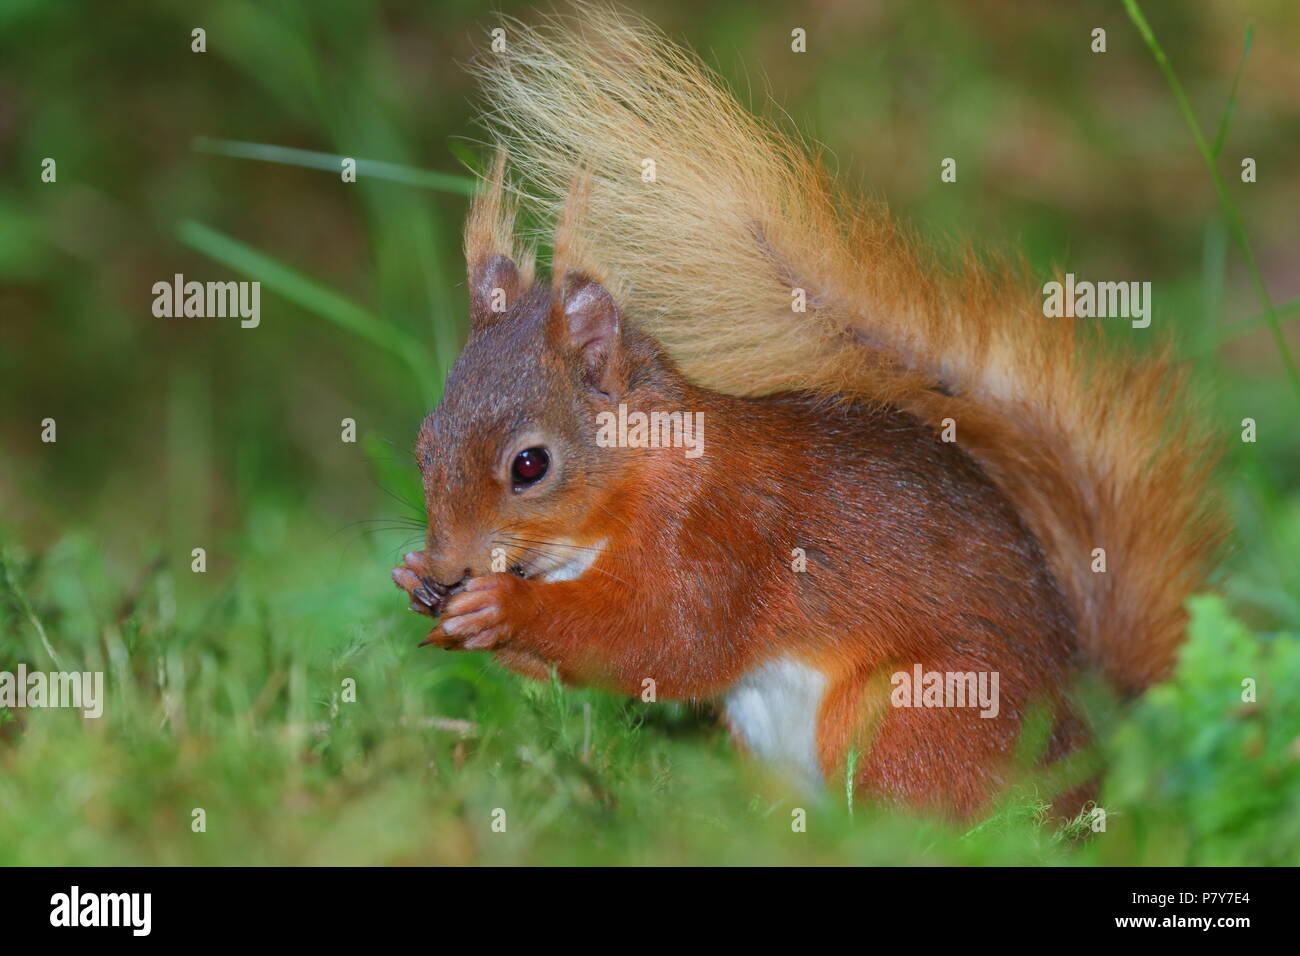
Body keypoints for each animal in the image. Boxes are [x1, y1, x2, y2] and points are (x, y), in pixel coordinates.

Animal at [390, 6, 1225, 818]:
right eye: (423, 443)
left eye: (530, 466)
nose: (448, 565)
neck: (644, 474)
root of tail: (1090, 753)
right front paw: (419, 584)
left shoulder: (726, 534)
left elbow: (668, 641)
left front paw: (504, 604)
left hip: (917, 718)